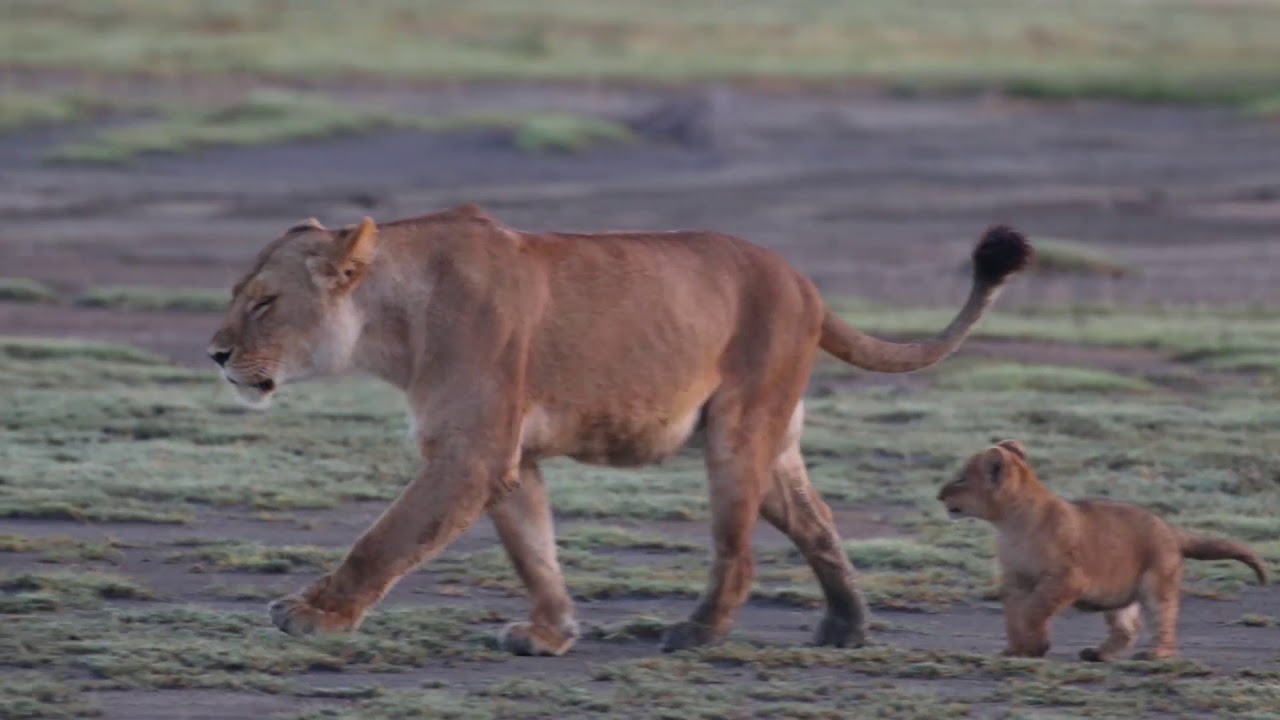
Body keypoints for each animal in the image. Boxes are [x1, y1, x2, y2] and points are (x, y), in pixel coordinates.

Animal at [207, 203, 1031, 656]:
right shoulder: (508, 457)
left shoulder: (470, 453)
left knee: (739, 553)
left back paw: (699, 633)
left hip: (738, 435)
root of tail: (808, 286)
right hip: (775, 446)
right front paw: (549, 632)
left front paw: (314, 615)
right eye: (237, 295)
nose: (214, 354)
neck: (393, 323)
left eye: (264, 303)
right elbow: (535, 549)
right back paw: (848, 627)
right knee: (818, 525)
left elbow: (383, 539)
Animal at [938, 439, 1269, 661]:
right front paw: (1016, 649)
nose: (939, 494)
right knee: (1127, 628)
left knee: (1163, 621)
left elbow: (1033, 610)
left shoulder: (1067, 577)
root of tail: (1170, 529)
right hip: (1117, 597)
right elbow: (1014, 615)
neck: (1010, 525)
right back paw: (1097, 653)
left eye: (961, 478)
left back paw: (1154, 655)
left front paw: (1036, 645)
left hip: (1156, 582)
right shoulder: (1015, 580)